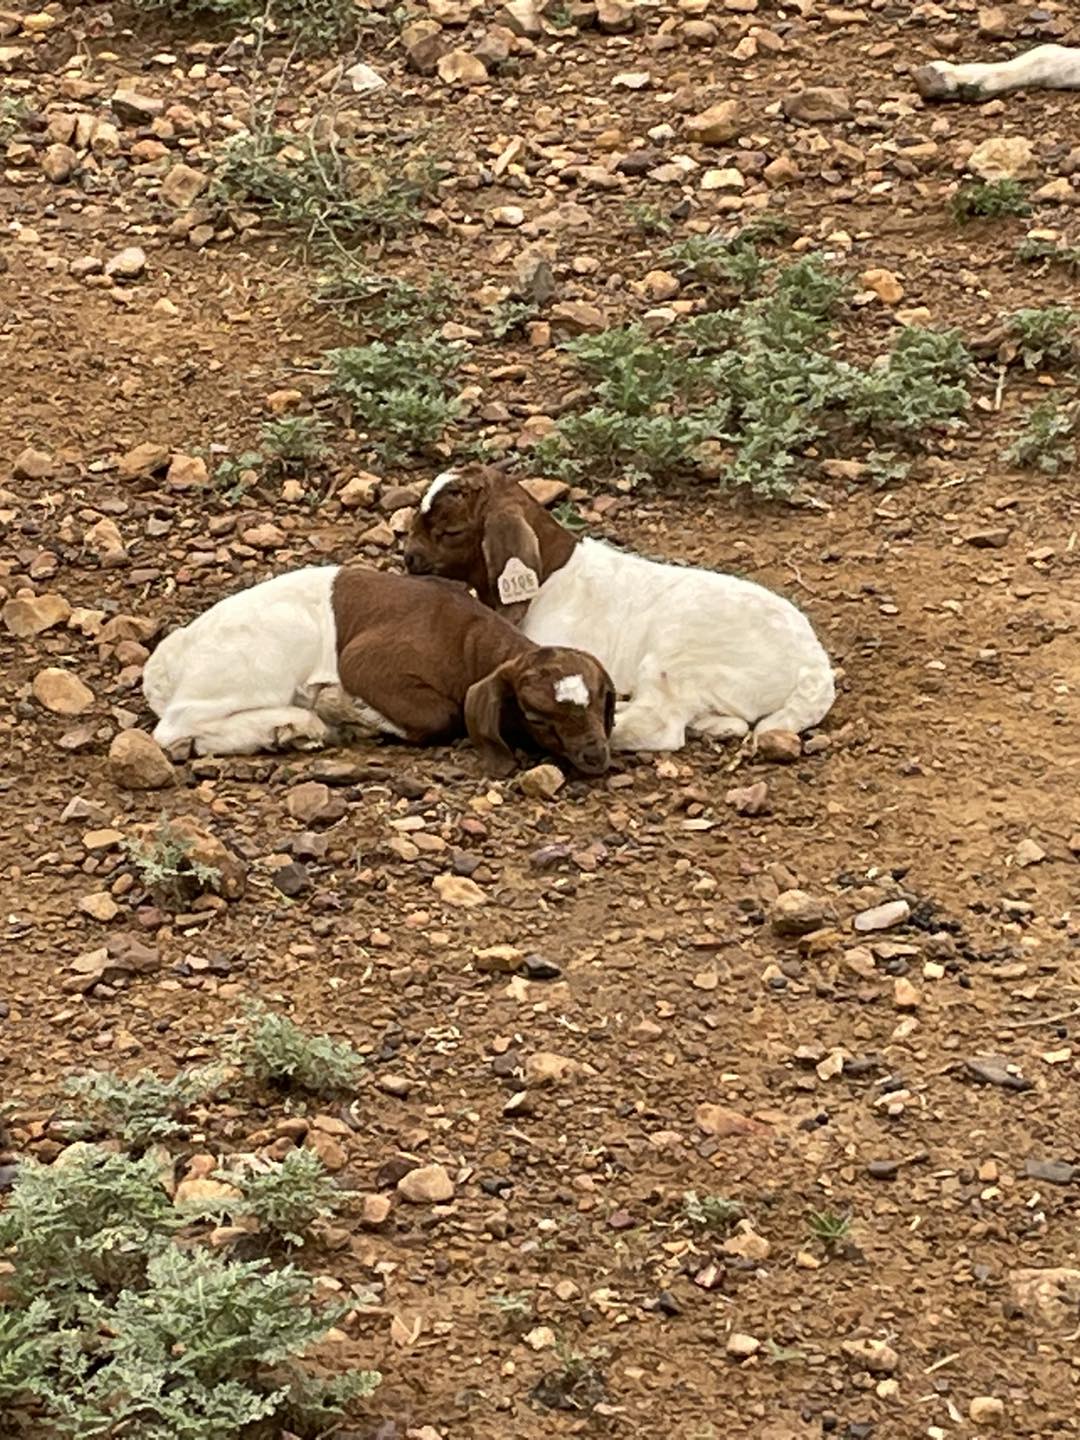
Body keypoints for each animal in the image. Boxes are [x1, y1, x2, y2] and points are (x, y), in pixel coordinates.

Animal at [142, 565, 615, 777]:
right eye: (536, 715)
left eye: (599, 702)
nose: (595, 755)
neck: (466, 639)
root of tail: (167, 659)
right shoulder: (367, 660)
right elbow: (440, 716)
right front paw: (345, 707)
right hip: (257, 661)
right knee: (173, 729)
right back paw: (303, 722)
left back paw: (292, 731)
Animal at [404, 468, 835, 754]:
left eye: (451, 531)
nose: (409, 558)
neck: (551, 576)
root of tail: (813, 668)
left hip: (678, 656)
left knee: (661, 724)